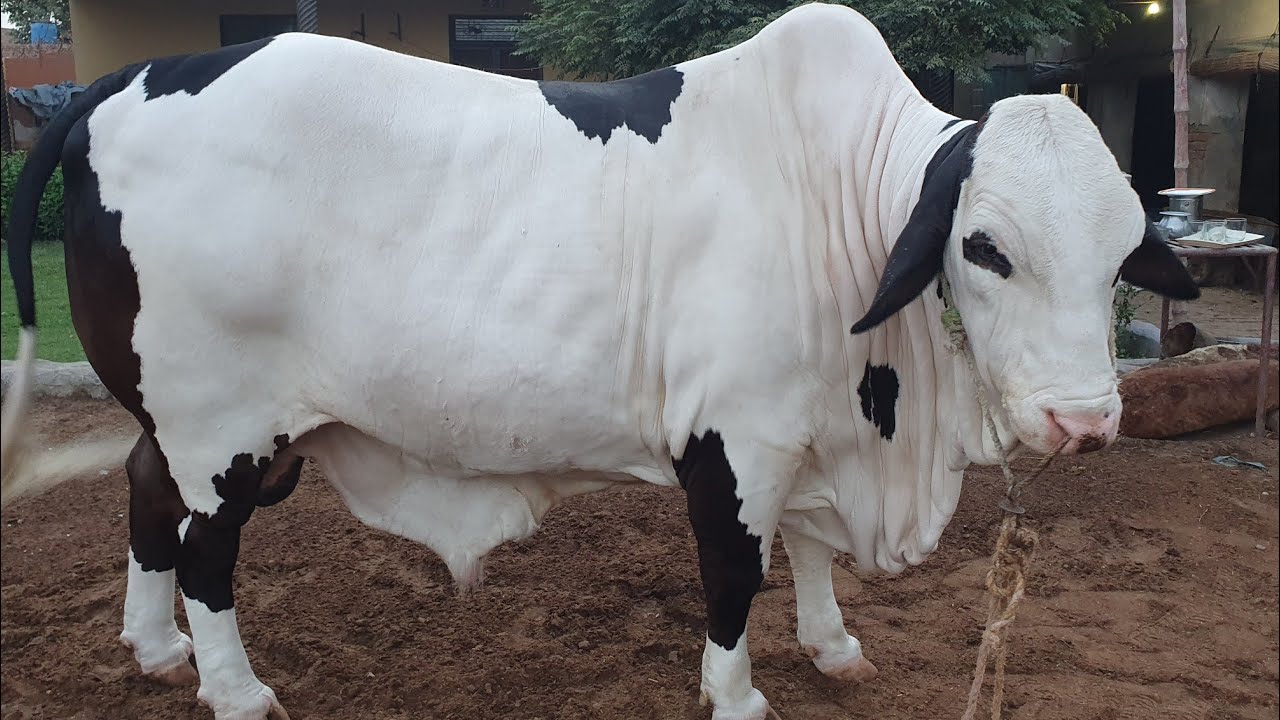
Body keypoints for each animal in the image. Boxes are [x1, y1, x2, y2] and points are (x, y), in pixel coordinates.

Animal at [0, 3, 1198, 719]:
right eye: (984, 247)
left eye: (1122, 248)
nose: (1084, 422)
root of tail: (115, 85)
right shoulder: (734, 440)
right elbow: (736, 573)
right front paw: (737, 694)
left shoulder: (806, 428)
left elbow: (807, 551)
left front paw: (831, 644)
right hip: (226, 427)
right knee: (205, 550)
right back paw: (234, 686)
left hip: (188, 423)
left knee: (143, 489)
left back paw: (155, 649)